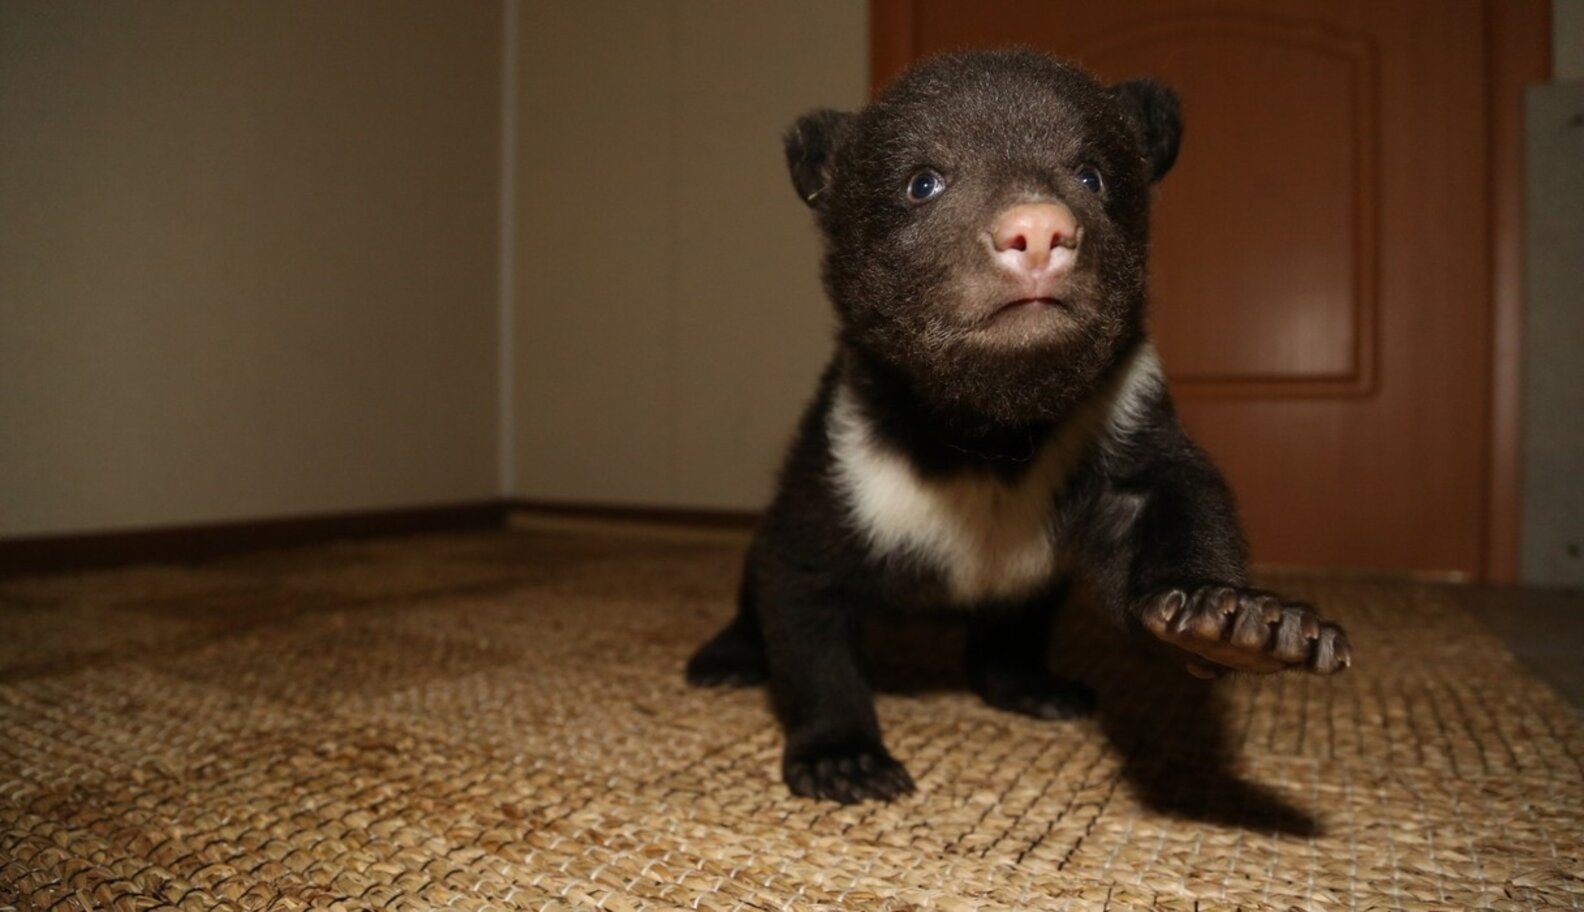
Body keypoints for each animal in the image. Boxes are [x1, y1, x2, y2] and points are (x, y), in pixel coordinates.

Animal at [686, 49, 1351, 805]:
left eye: (1092, 174)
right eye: (923, 182)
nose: (1036, 230)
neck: (986, 427)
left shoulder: (1115, 416)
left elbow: (1168, 504)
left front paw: (1241, 623)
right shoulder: (844, 462)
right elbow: (804, 595)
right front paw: (843, 756)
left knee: (1014, 626)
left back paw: (1034, 685)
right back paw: (727, 657)